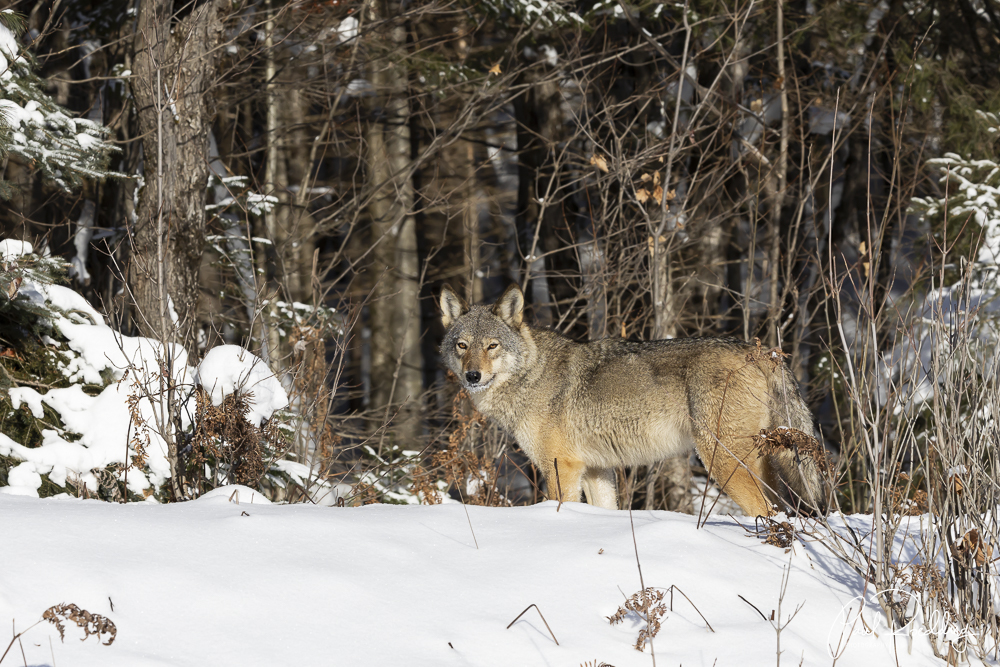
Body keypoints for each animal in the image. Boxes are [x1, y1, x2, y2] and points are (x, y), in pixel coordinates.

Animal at [439, 283, 828, 517]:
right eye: (462, 346)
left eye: (492, 346)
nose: (473, 376)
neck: (531, 375)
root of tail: (762, 352)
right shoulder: (596, 471)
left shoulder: (562, 470)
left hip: (723, 460)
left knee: (767, 511)